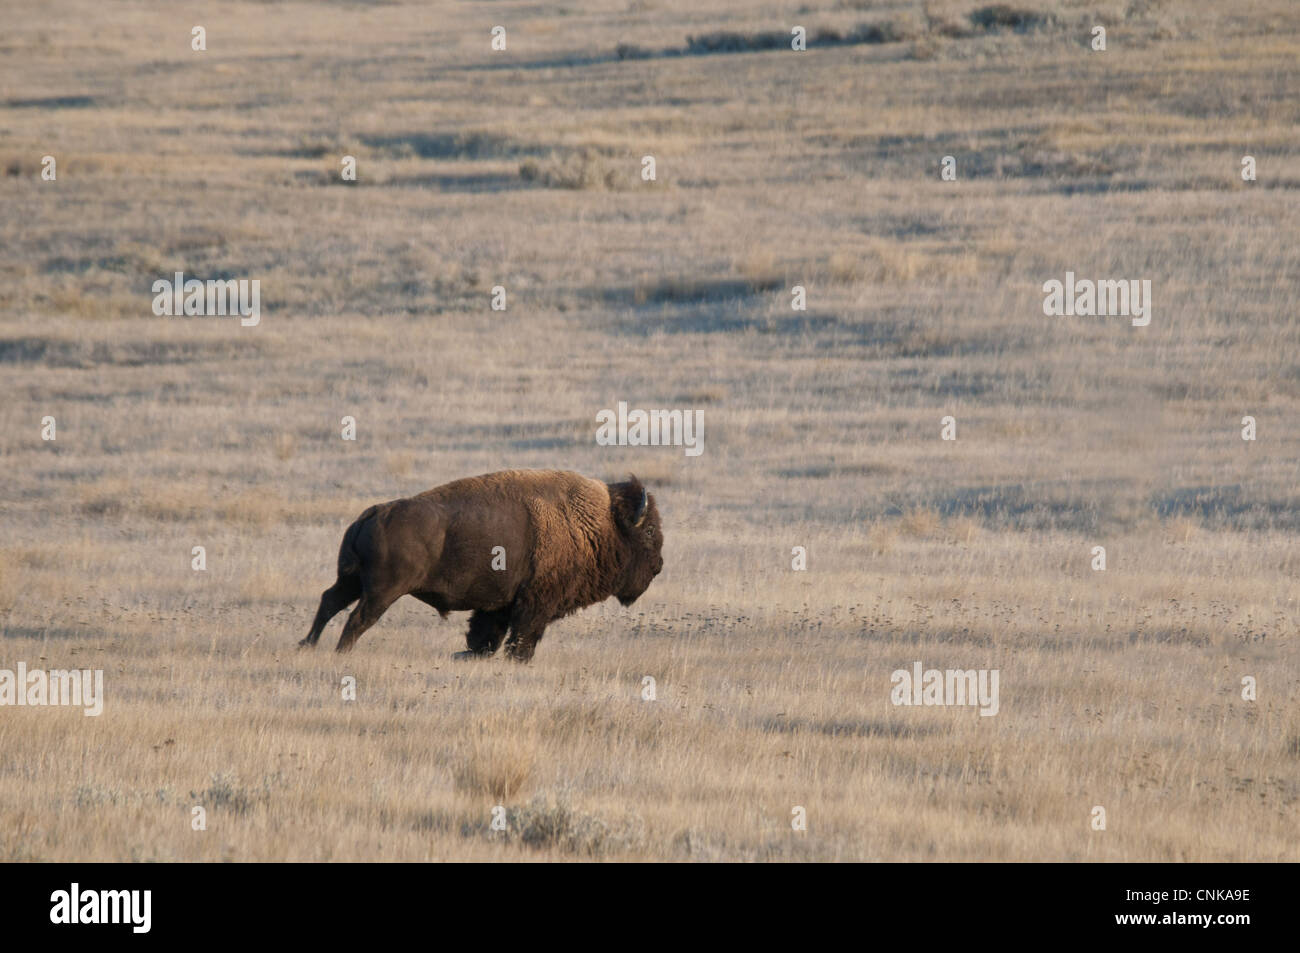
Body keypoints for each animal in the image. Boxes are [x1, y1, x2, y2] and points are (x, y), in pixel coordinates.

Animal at [299, 469, 663, 660]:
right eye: (648, 531)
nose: (659, 566)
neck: (600, 524)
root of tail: (374, 512)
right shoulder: (534, 602)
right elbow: (523, 635)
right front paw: (517, 660)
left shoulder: (501, 604)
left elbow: (487, 634)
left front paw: (468, 654)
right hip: (382, 590)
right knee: (358, 618)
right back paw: (341, 652)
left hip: (351, 580)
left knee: (330, 601)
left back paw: (308, 645)